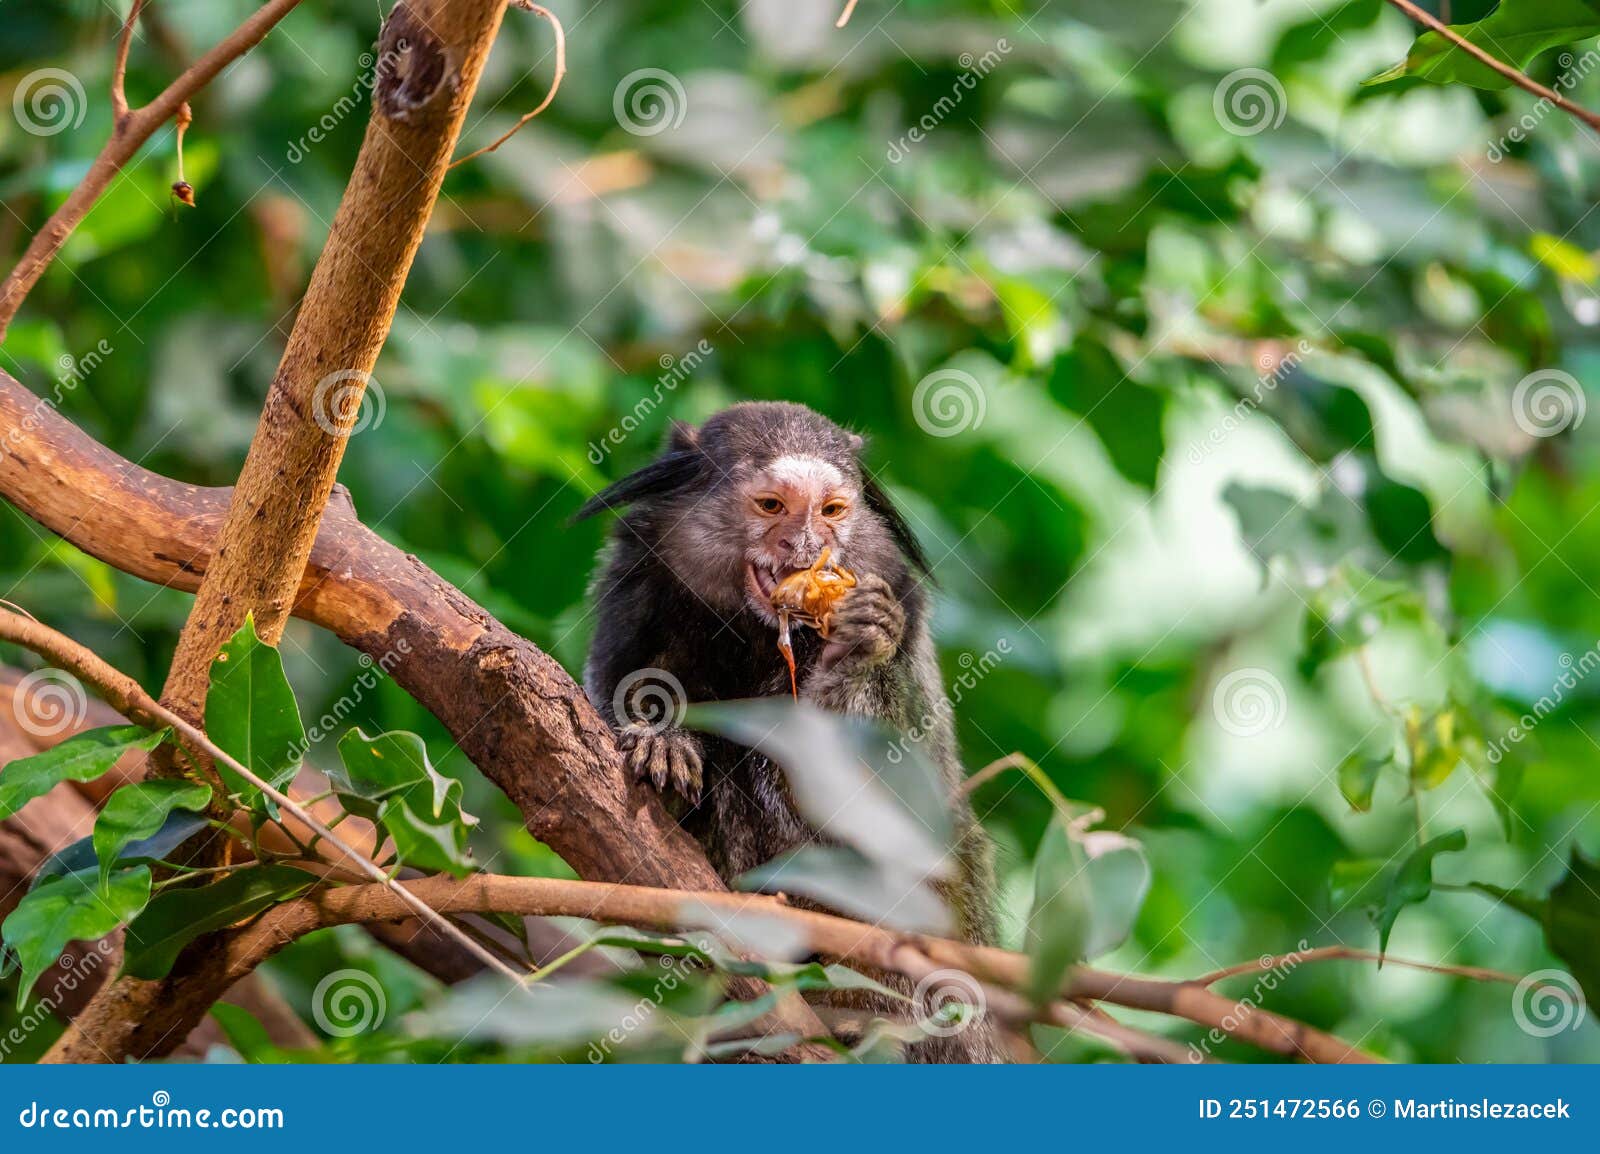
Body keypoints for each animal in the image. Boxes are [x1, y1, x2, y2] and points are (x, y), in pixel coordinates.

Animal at [576, 401, 1005, 1063]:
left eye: (831, 511)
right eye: (772, 506)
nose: (805, 546)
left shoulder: (901, 605)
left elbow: (889, 792)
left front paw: (857, 652)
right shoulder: (634, 593)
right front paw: (662, 746)